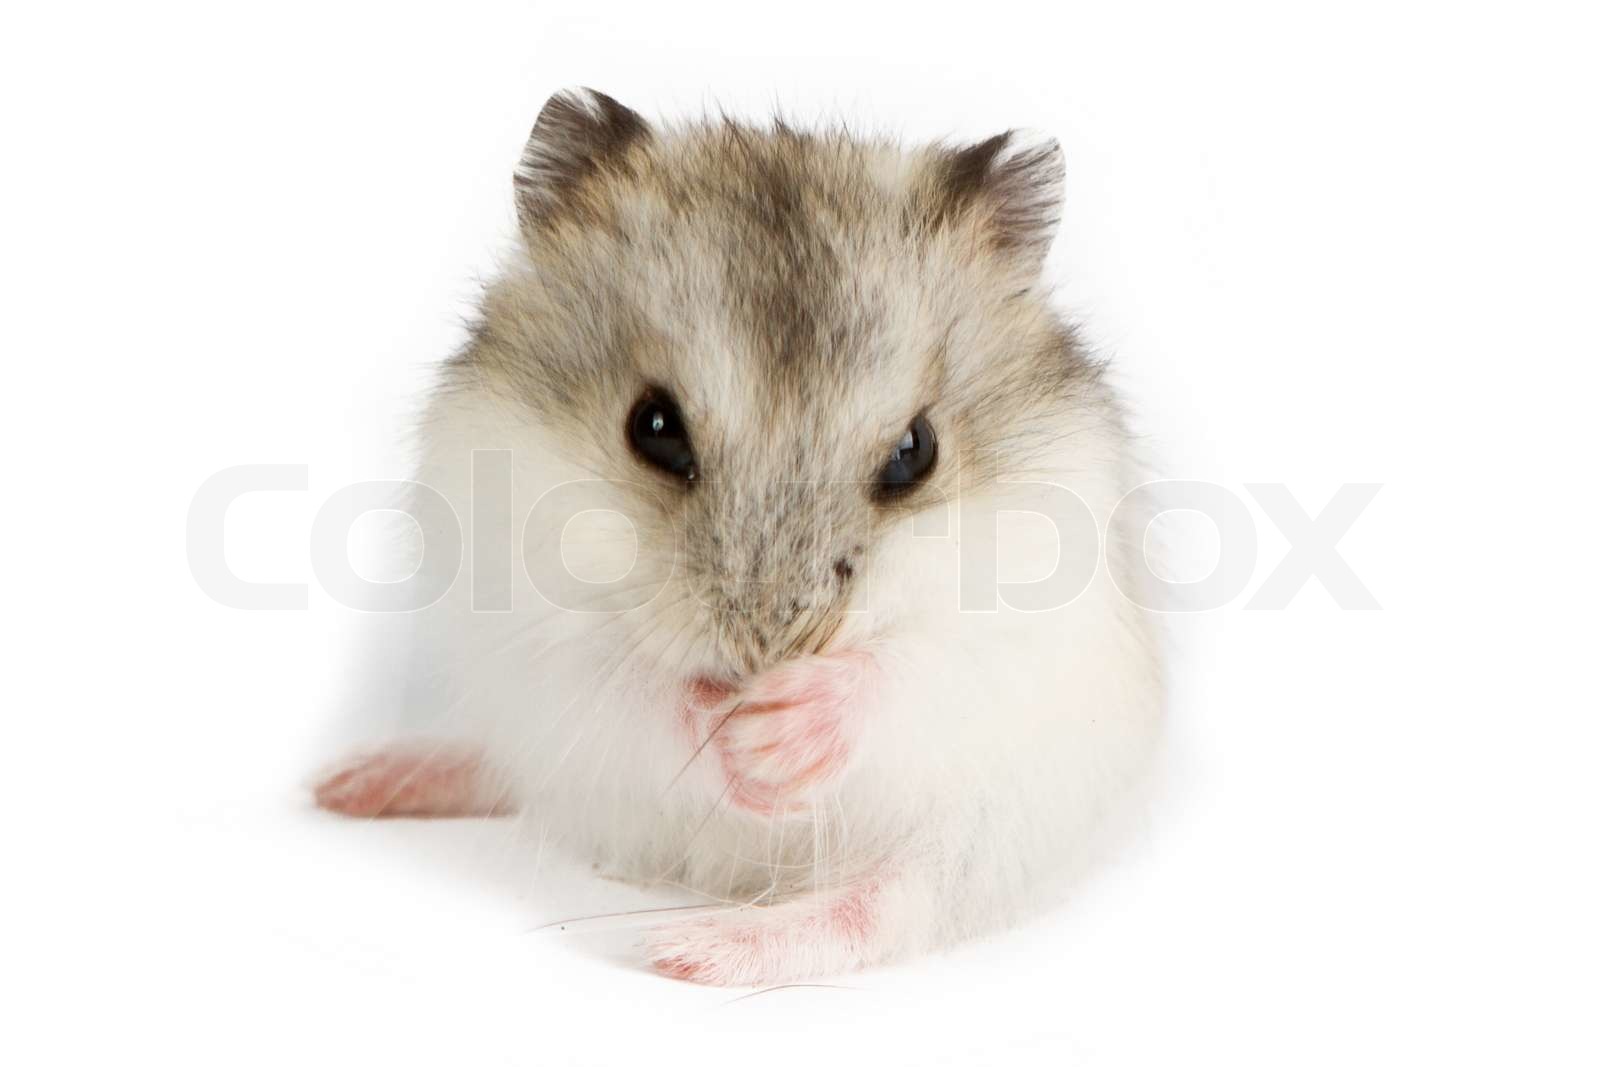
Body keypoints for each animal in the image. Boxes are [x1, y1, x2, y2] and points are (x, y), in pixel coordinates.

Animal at [314, 88, 1164, 985]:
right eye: (652, 427)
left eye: (916, 450)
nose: (766, 652)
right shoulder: (522, 624)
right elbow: (631, 681)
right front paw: (734, 736)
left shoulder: (1031, 641)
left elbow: (911, 670)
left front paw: (779, 733)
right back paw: (357, 782)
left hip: (991, 832)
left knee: (877, 909)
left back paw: (693, 947)